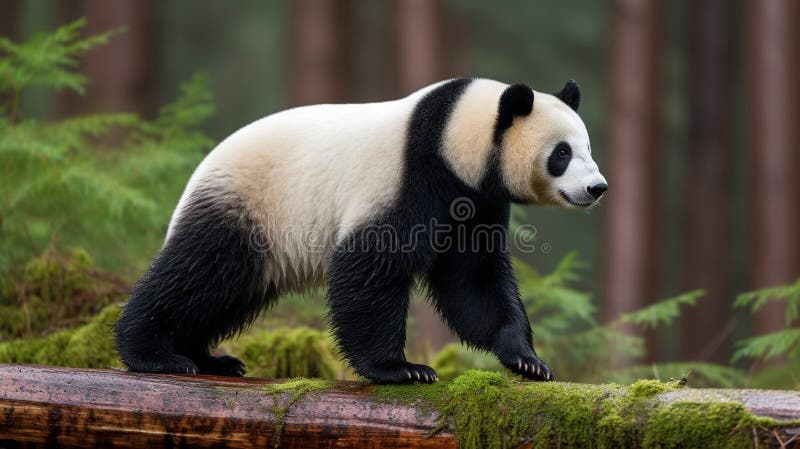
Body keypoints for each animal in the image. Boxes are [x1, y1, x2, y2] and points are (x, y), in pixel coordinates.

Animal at [114, 78, 607, 384]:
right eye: (561, 153)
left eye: (587, 147)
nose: (597, 188)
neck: (451, 129)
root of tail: (198, 173)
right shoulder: (407, 174)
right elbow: (373, 264)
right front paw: (401, 369)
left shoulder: (477, 198)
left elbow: (473, 279)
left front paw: (527, 360)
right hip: (251, 202)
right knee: (200, 271)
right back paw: (151, 352)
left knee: (224, 294)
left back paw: (206, 358)